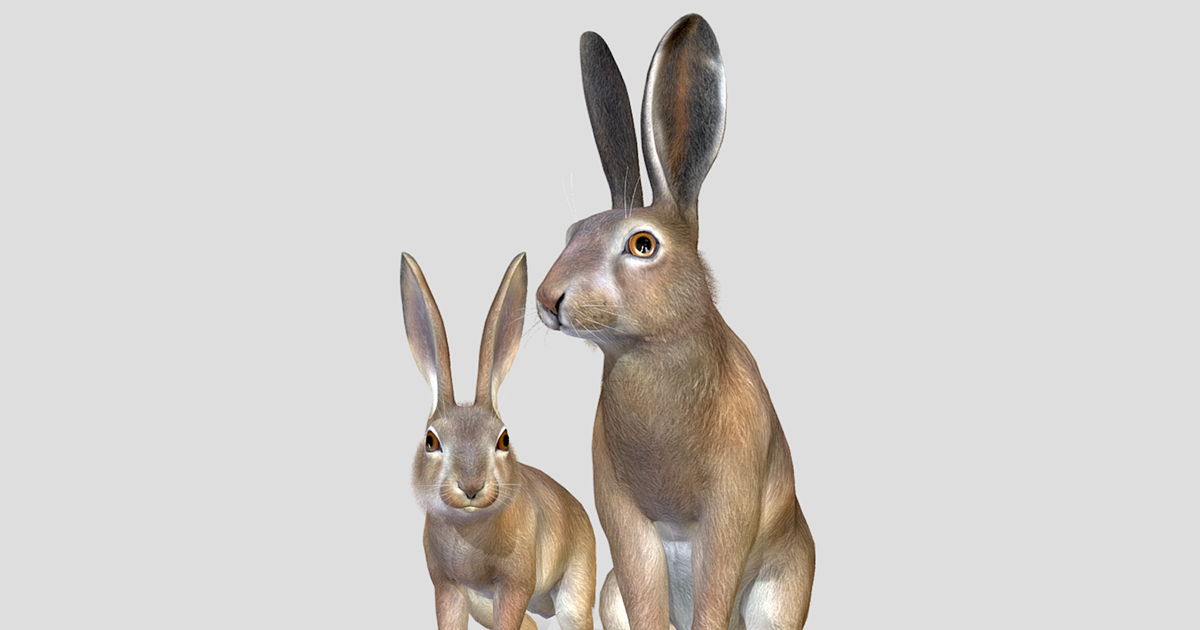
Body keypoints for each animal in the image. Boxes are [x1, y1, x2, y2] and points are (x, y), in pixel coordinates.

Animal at [402, 251, 597, 630]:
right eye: (431, 441)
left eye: (504, 440)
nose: (471, 486)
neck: (469, 527)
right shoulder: (448, 587)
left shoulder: (514, 584)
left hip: (575, 590)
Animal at [534, 14, 815, 630]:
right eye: (572, 232)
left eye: (643, 245)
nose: (547, 298)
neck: (652, 357)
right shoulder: (623, 517)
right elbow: (644, 591)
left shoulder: (729, 510)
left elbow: (713, 591)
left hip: (780, 589)